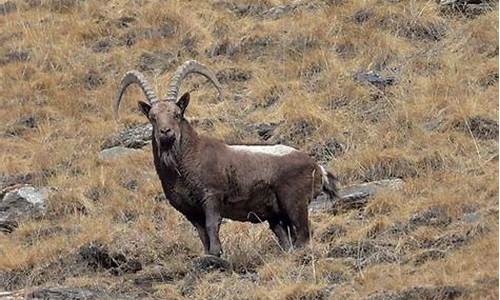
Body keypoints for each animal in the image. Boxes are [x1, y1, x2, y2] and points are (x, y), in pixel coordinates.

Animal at [113, 60, 338, 255]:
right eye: (152, 117)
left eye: (177, 113)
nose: (166, 132)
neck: (187, 160)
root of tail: (318, 168)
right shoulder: (190, 211)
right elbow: (202, 233)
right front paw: (208, 254)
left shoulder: (211, 197)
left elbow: (212, 225)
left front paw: (216, 253)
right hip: (276, 215)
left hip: (294, 203)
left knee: (303, 235)